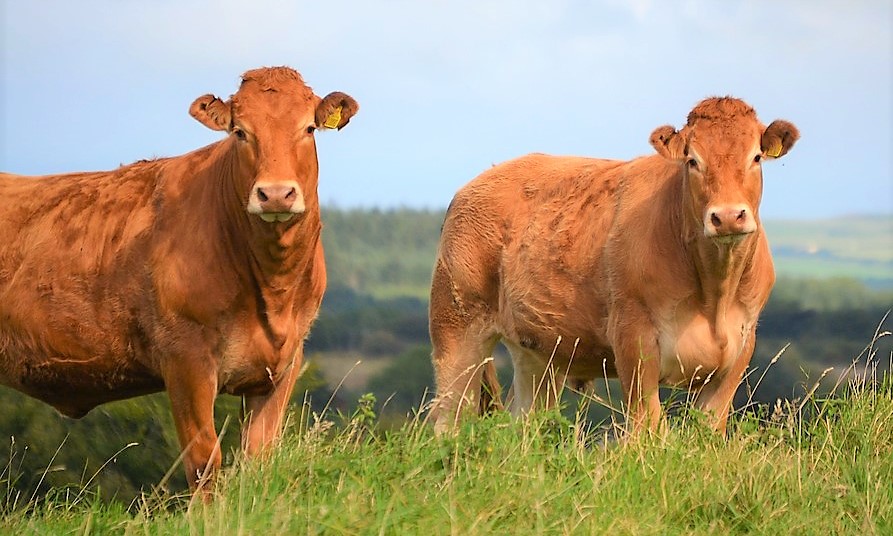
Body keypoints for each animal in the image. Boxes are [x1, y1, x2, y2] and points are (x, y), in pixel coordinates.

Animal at [0, 66, 358, 491]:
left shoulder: (283, 363)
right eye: (240, 132)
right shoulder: (185, 358)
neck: (272, 291)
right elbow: (204, 462)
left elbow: (259, 457)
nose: (275, 194)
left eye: (308, 128)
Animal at [429, 97, 798, 435]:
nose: (728, 216)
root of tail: (478, 183)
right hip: (456, 329)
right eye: (693, 160)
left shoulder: (739, 349)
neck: (714, 294)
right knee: (450, 418)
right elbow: (648, 427)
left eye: (756, 157)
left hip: (536, 353)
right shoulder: (634, 339)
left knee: (526, 421)